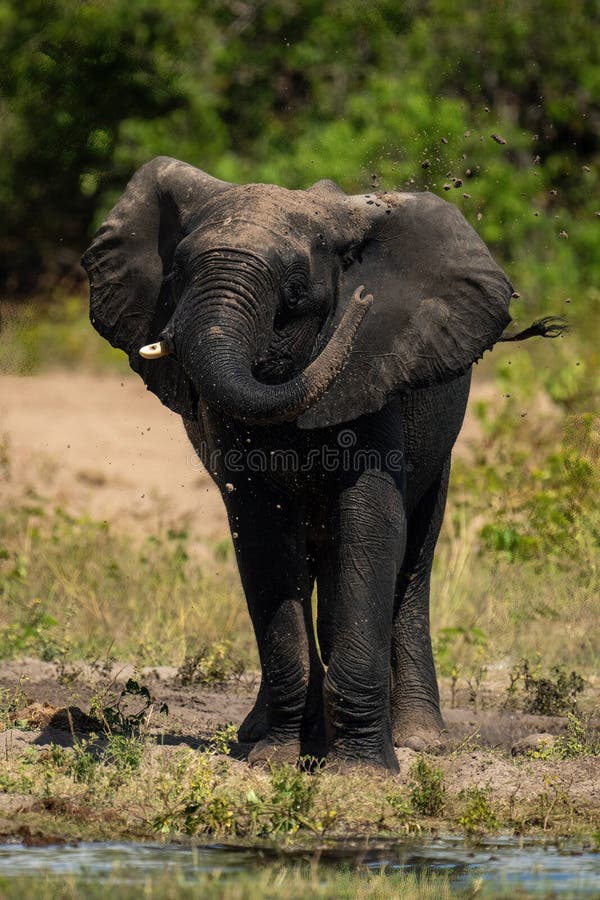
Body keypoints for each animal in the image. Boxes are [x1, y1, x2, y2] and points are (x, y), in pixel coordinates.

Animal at [82, 156, 563, 772]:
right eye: (180, 270)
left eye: (295, 289)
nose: (359, 302)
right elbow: (262, 537)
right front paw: (274, 758)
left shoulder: (376, 373)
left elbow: (370, 524)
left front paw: (360, 774)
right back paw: (260, 733)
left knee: (412, 562)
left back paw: (420, 740)